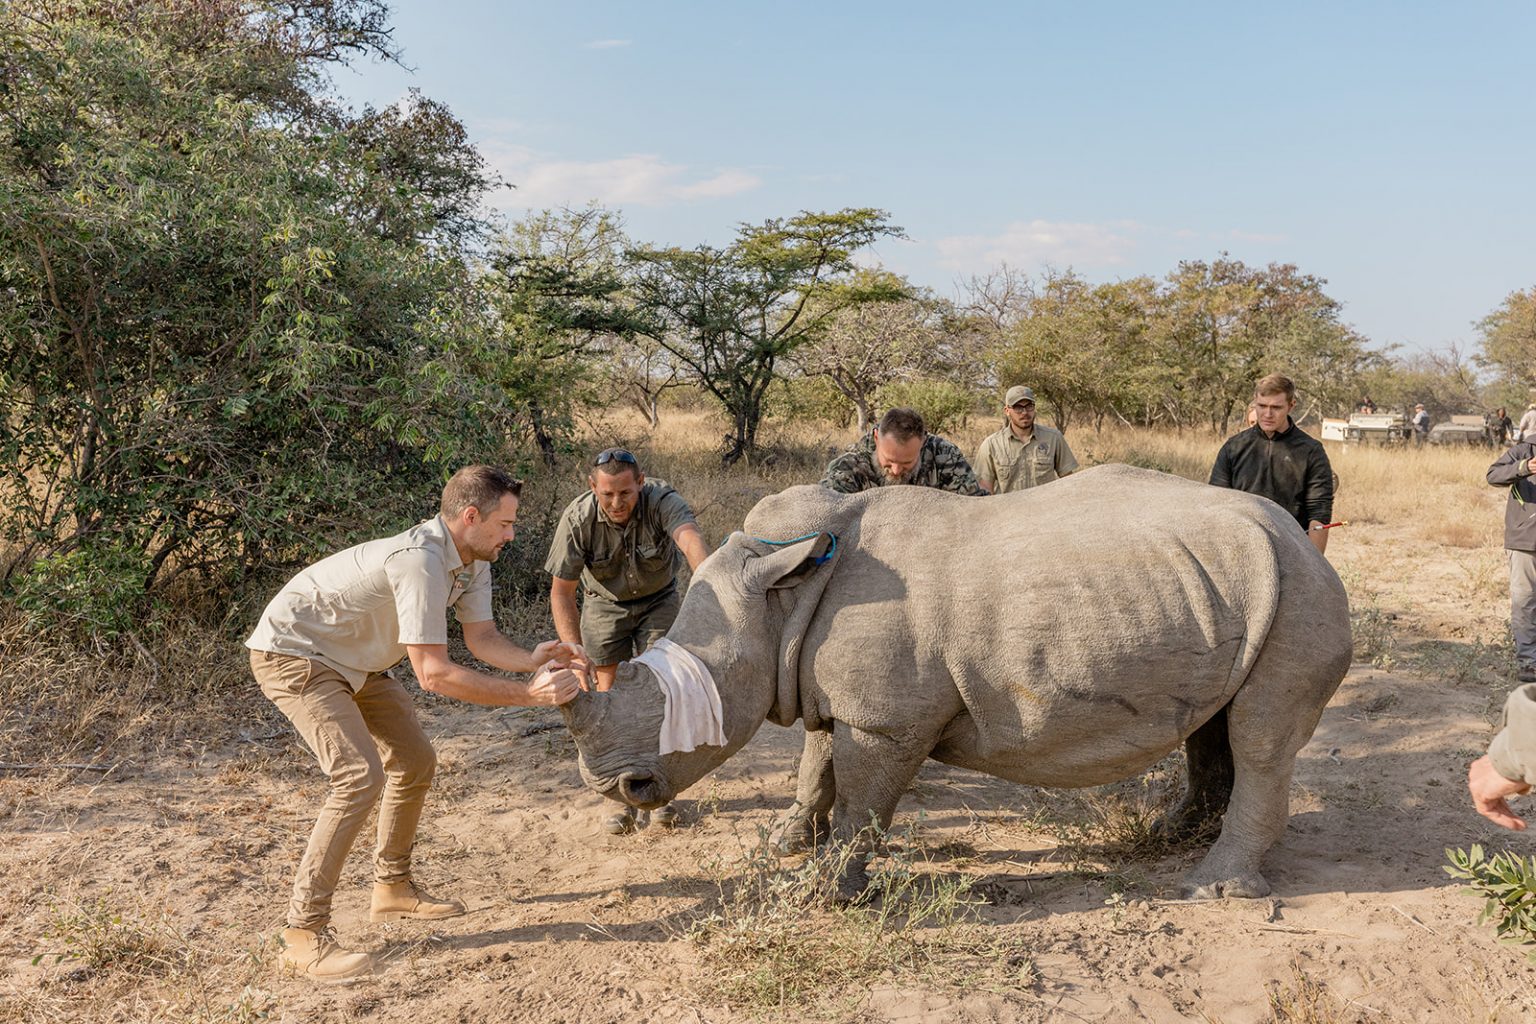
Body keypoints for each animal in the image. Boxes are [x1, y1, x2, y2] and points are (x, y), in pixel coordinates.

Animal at [561, 465, 1352, 899]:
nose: (616, 789)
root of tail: (1303, 539)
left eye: (682, 698)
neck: (778, 595)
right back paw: (1173, 834)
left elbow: (862, 802)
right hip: (1234, 586)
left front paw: (828, 891)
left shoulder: (884, 718)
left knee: (1260, 737)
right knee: (1214, 719)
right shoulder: (837, 693)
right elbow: (816, 764)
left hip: (1299, 593)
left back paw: (1212, 889)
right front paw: (784, 846)